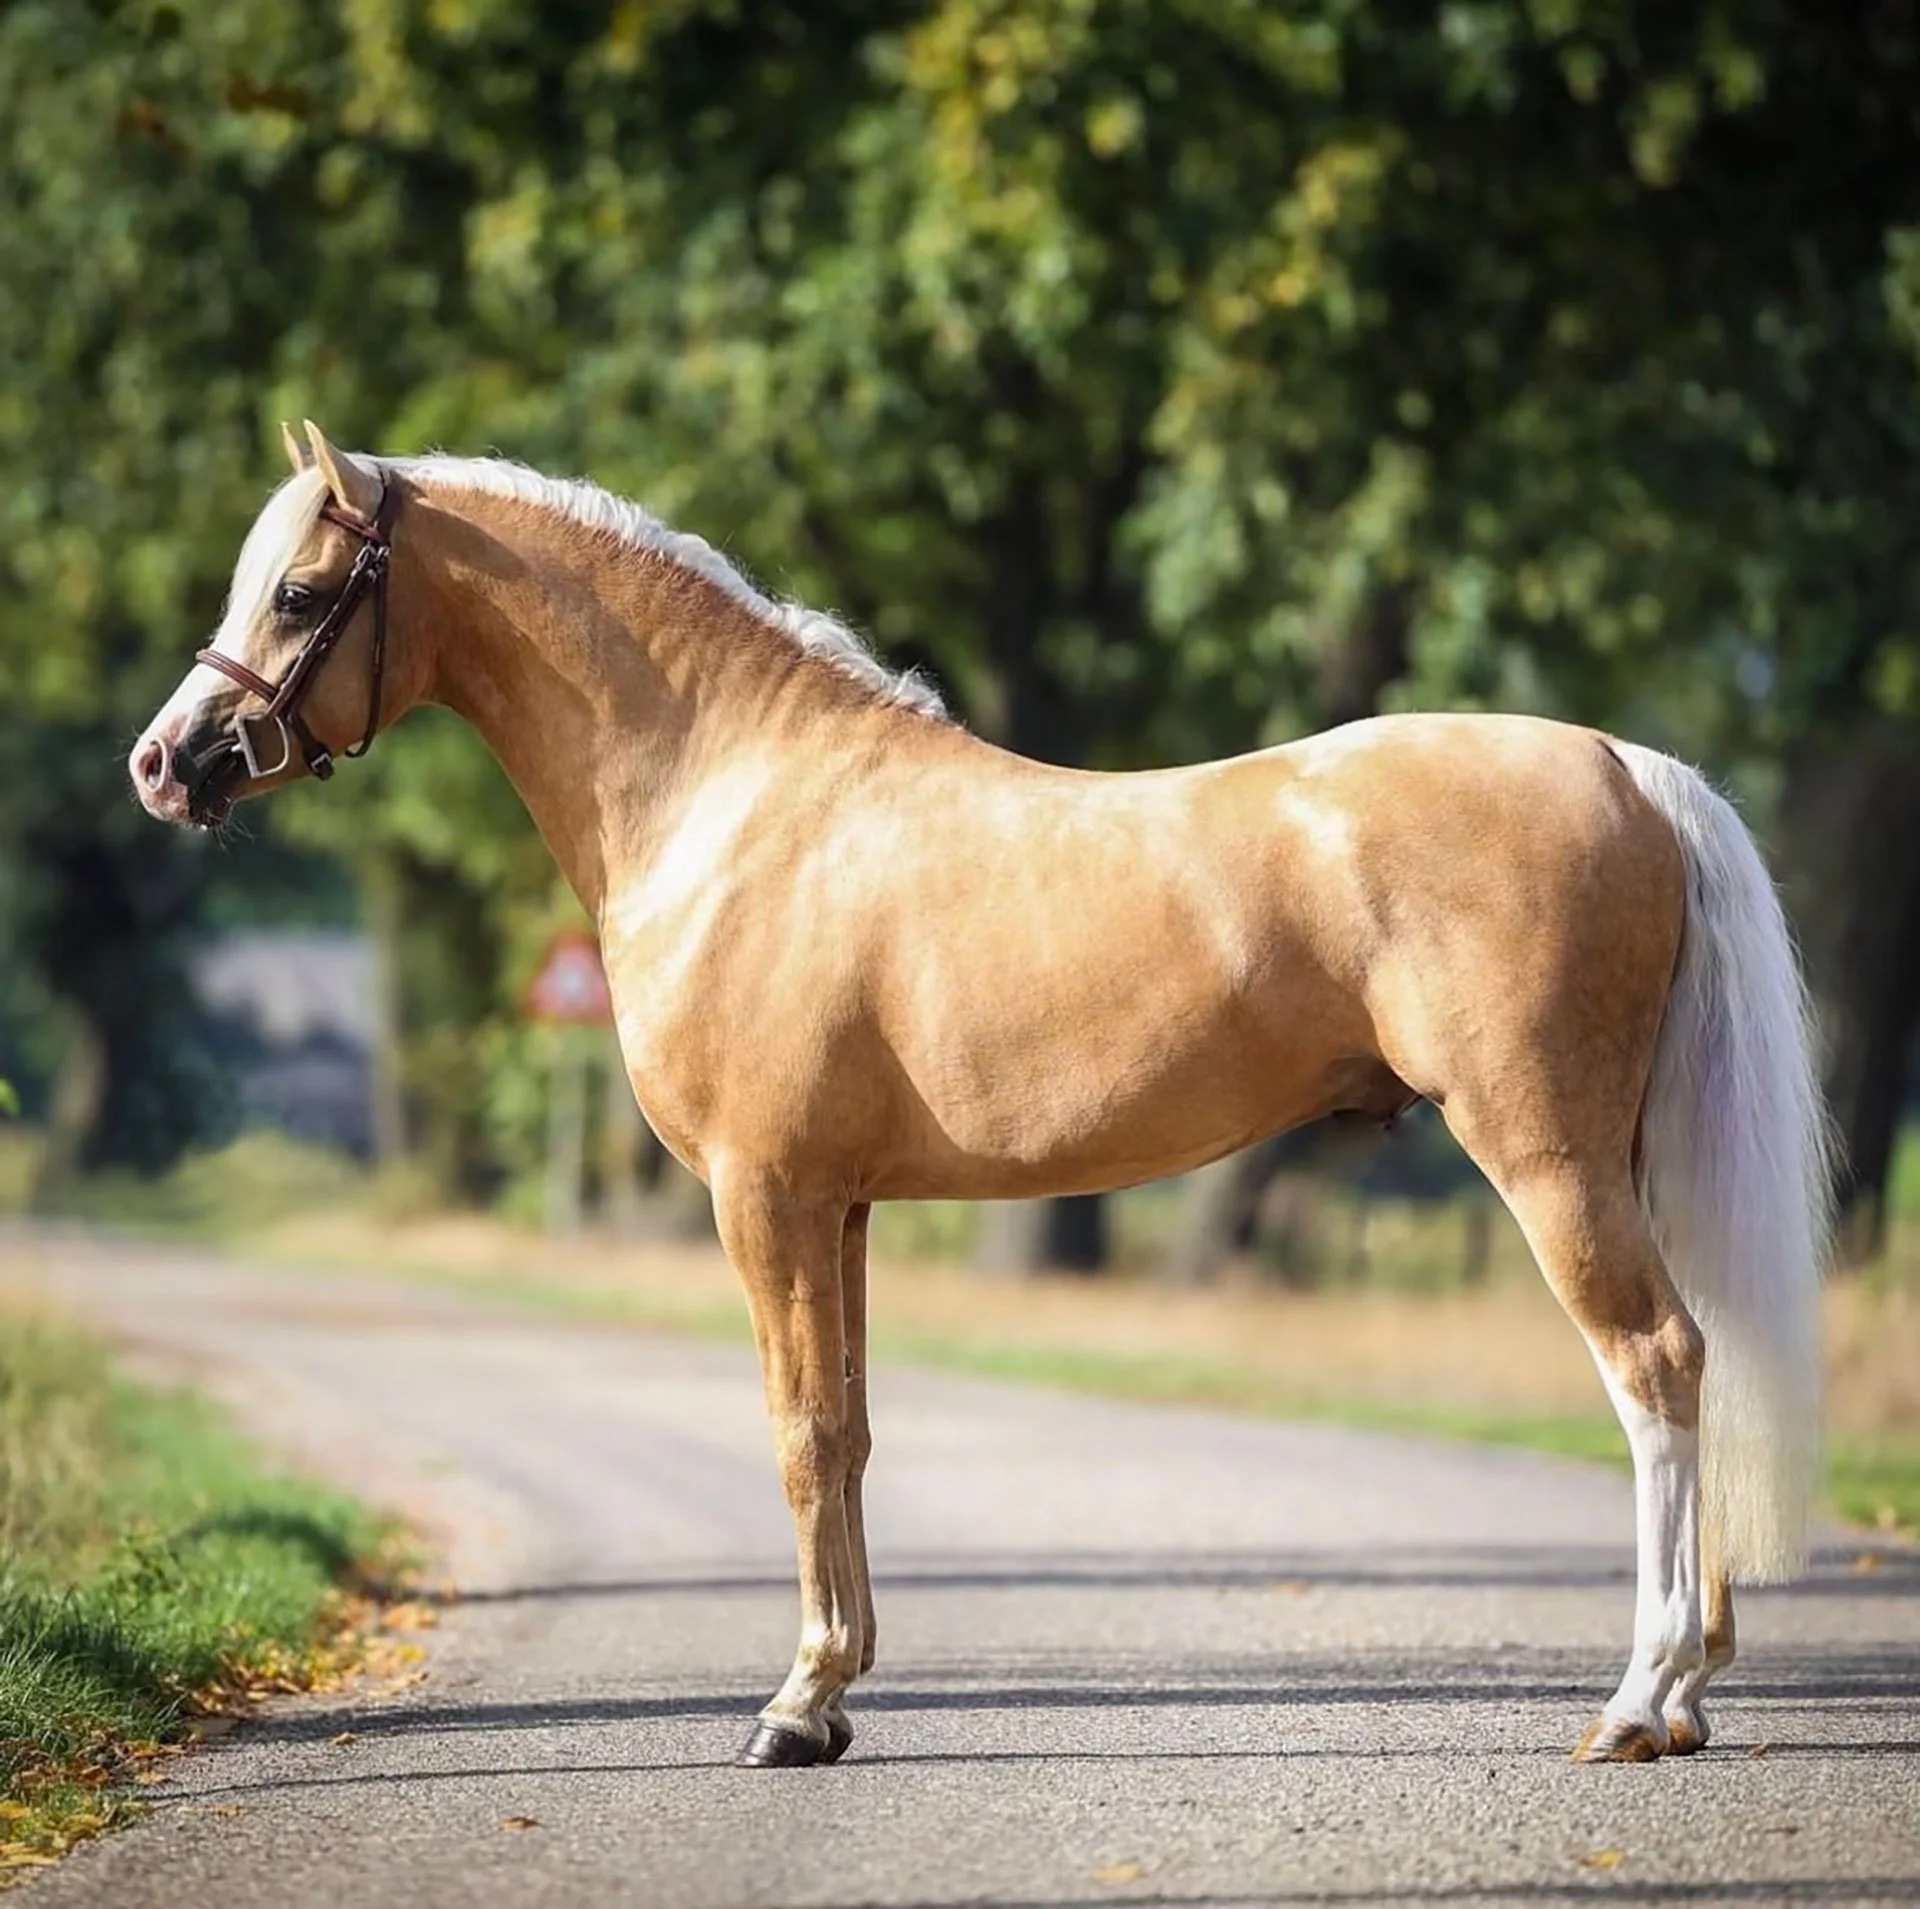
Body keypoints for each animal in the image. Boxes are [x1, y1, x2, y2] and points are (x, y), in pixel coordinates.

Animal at [131, 421, 1830, 1768]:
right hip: (1618, 1159)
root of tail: (1619, 760)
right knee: (1700, 1355)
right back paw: (1690, 1694)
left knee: (1657, 1365)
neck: (734, 800)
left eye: (298, 593)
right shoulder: (846, 1206)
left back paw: (1638, 1699)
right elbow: (853, 1430)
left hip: (1544, 1159)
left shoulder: (765, 1194)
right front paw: (835, 1692)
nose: (166, 762)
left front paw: (793, 1706)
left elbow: (798, 1429)